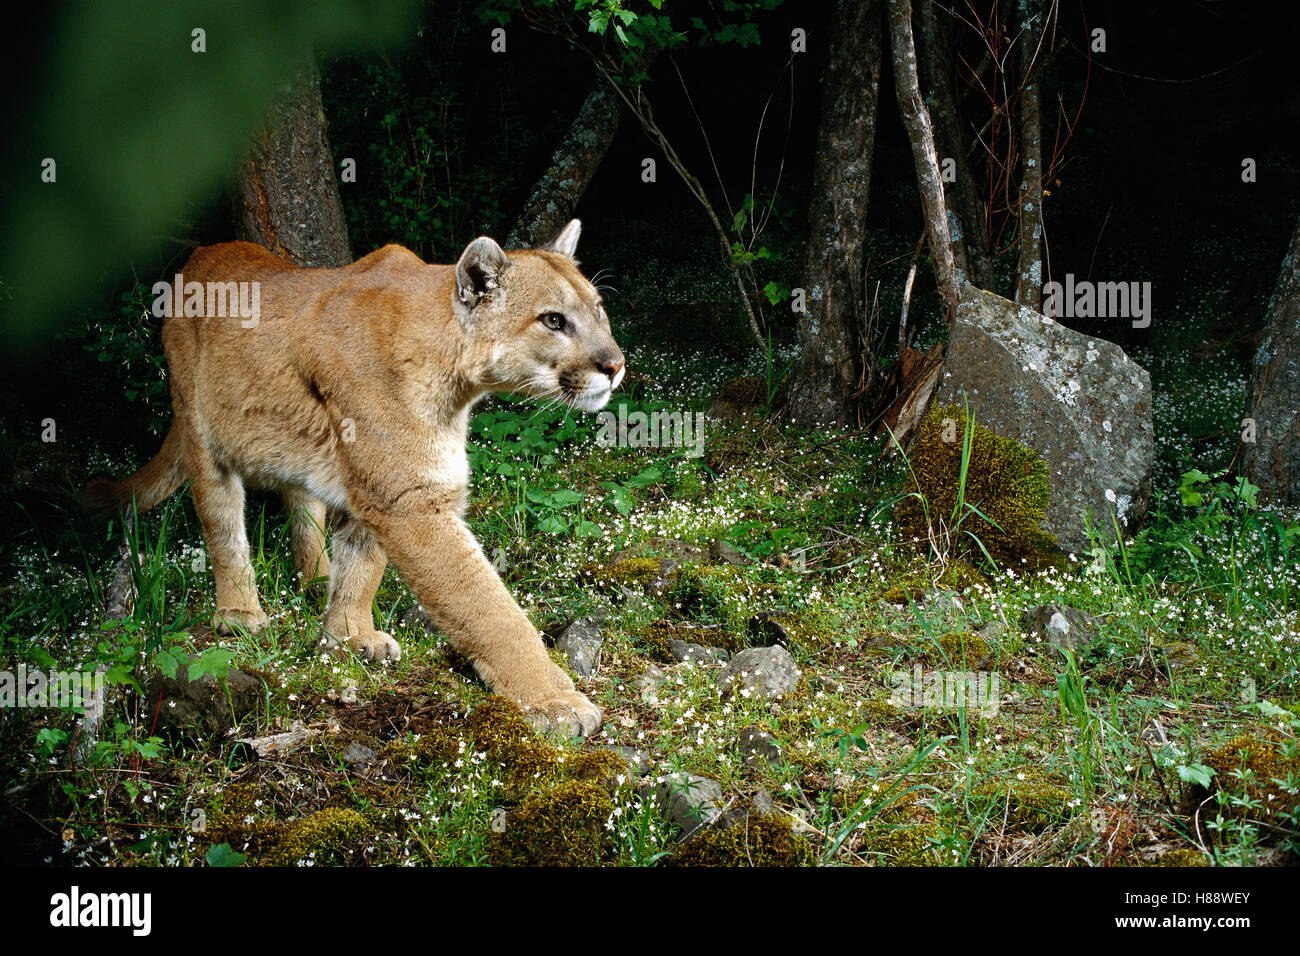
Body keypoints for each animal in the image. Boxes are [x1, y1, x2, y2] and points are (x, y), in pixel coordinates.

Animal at [84, 220, 622, 736]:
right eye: (553, 320)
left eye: (599, 310)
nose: (615, 365)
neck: (453, 378)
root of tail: (200, 253)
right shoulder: (407, 501)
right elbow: (490, 610)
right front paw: (554, 701)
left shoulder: (381, 490)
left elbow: (363, 565)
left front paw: (348, 634)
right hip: (201, 430)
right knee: (222, 523)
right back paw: (239, 612)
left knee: (301, 500)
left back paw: (317, 577)